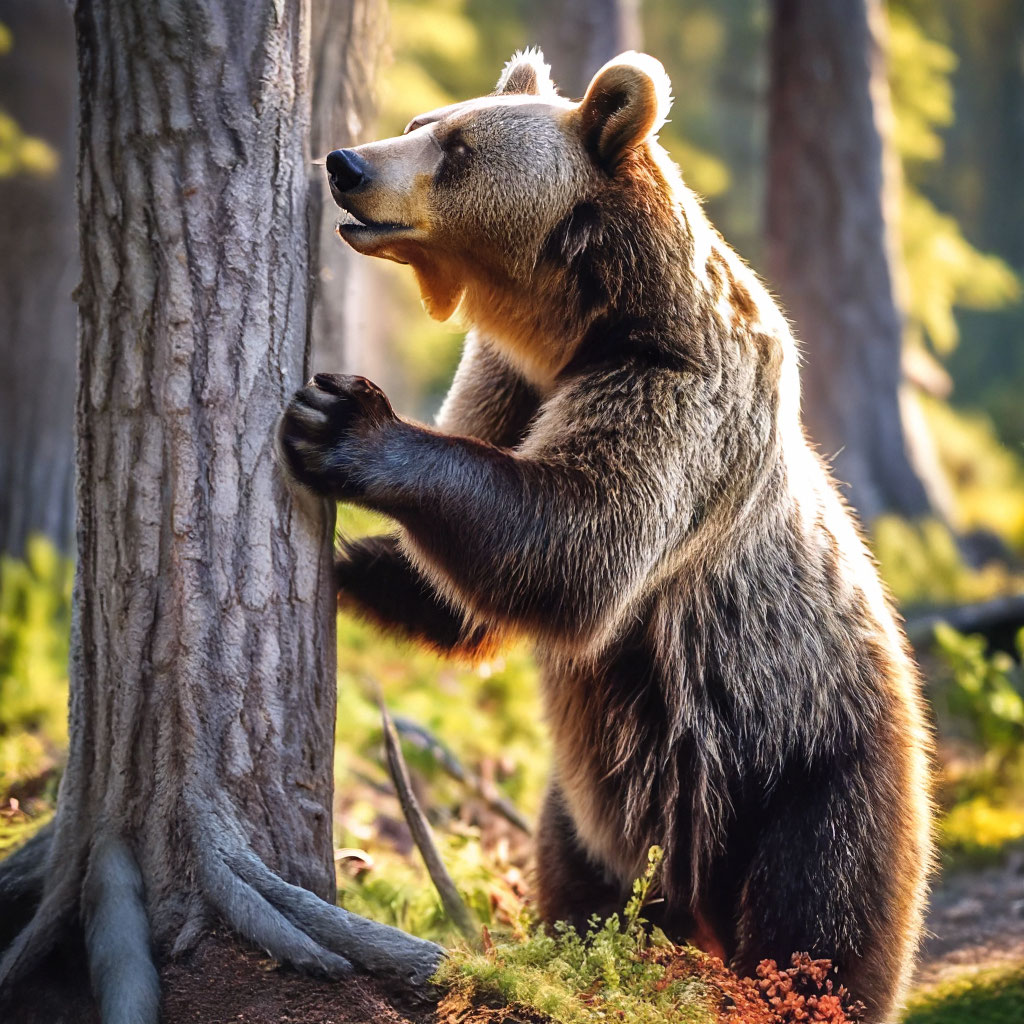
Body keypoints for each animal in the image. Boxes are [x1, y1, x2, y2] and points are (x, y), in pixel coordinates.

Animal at [279, 49, 933, 1023]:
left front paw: (341, 419)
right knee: (579, 884)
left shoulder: (670, 388)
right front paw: (350, 568)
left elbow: (574, 545)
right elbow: (461, 601)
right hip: (590, 806)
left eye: (457, 147)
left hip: (804, 762)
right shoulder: (512, 381)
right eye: (418, 122)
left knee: (818, 922)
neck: (572, 322)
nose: (347, 164)